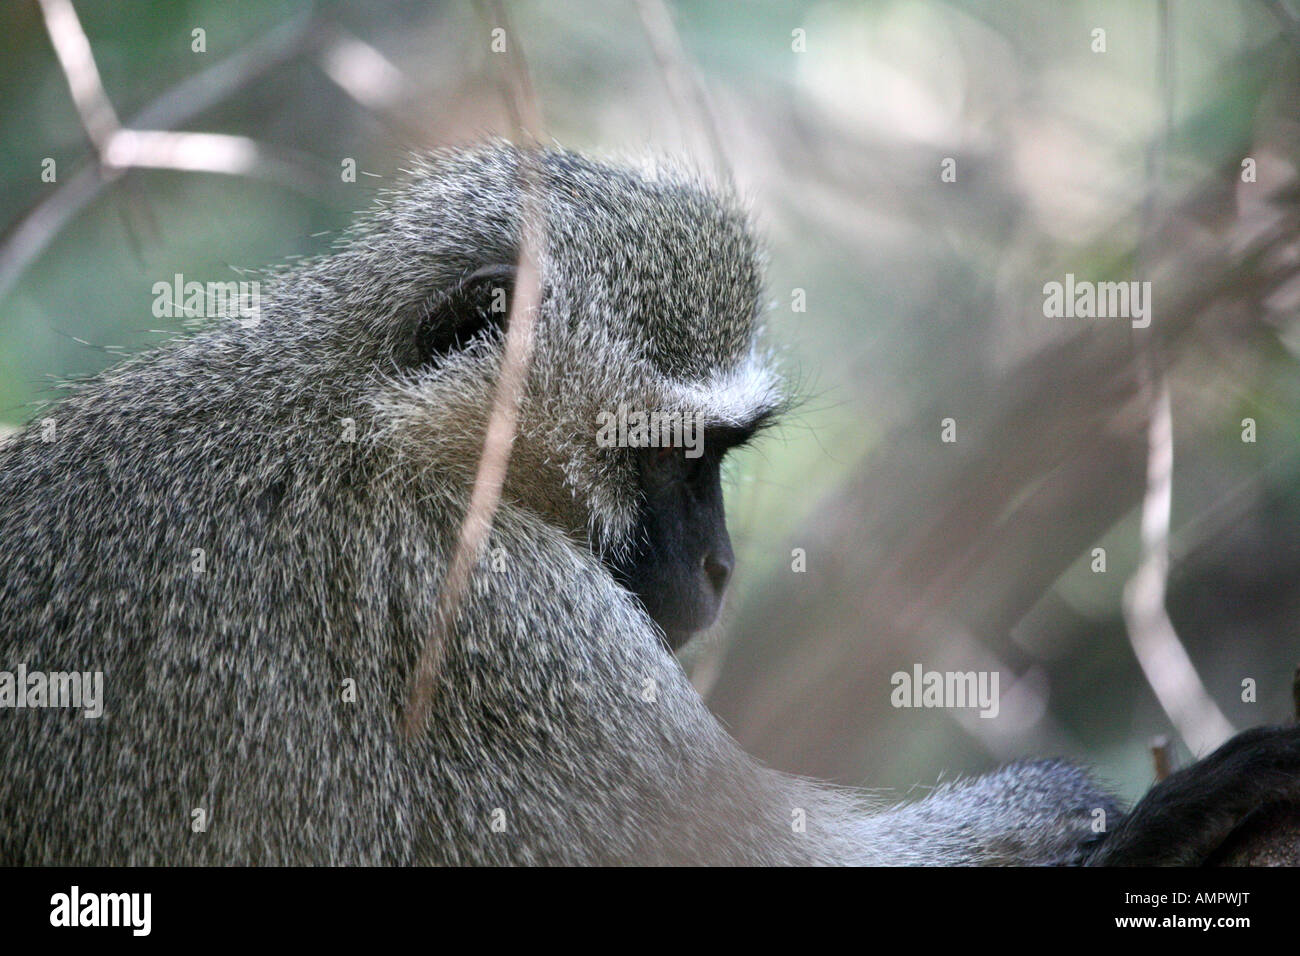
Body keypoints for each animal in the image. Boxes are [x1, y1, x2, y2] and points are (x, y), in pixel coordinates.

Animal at [1, 143, 1298, 865]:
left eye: (721, 454)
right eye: (670, 453)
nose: (720, 565)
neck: (365, 428)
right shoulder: (506, 621)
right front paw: (1142, 821)